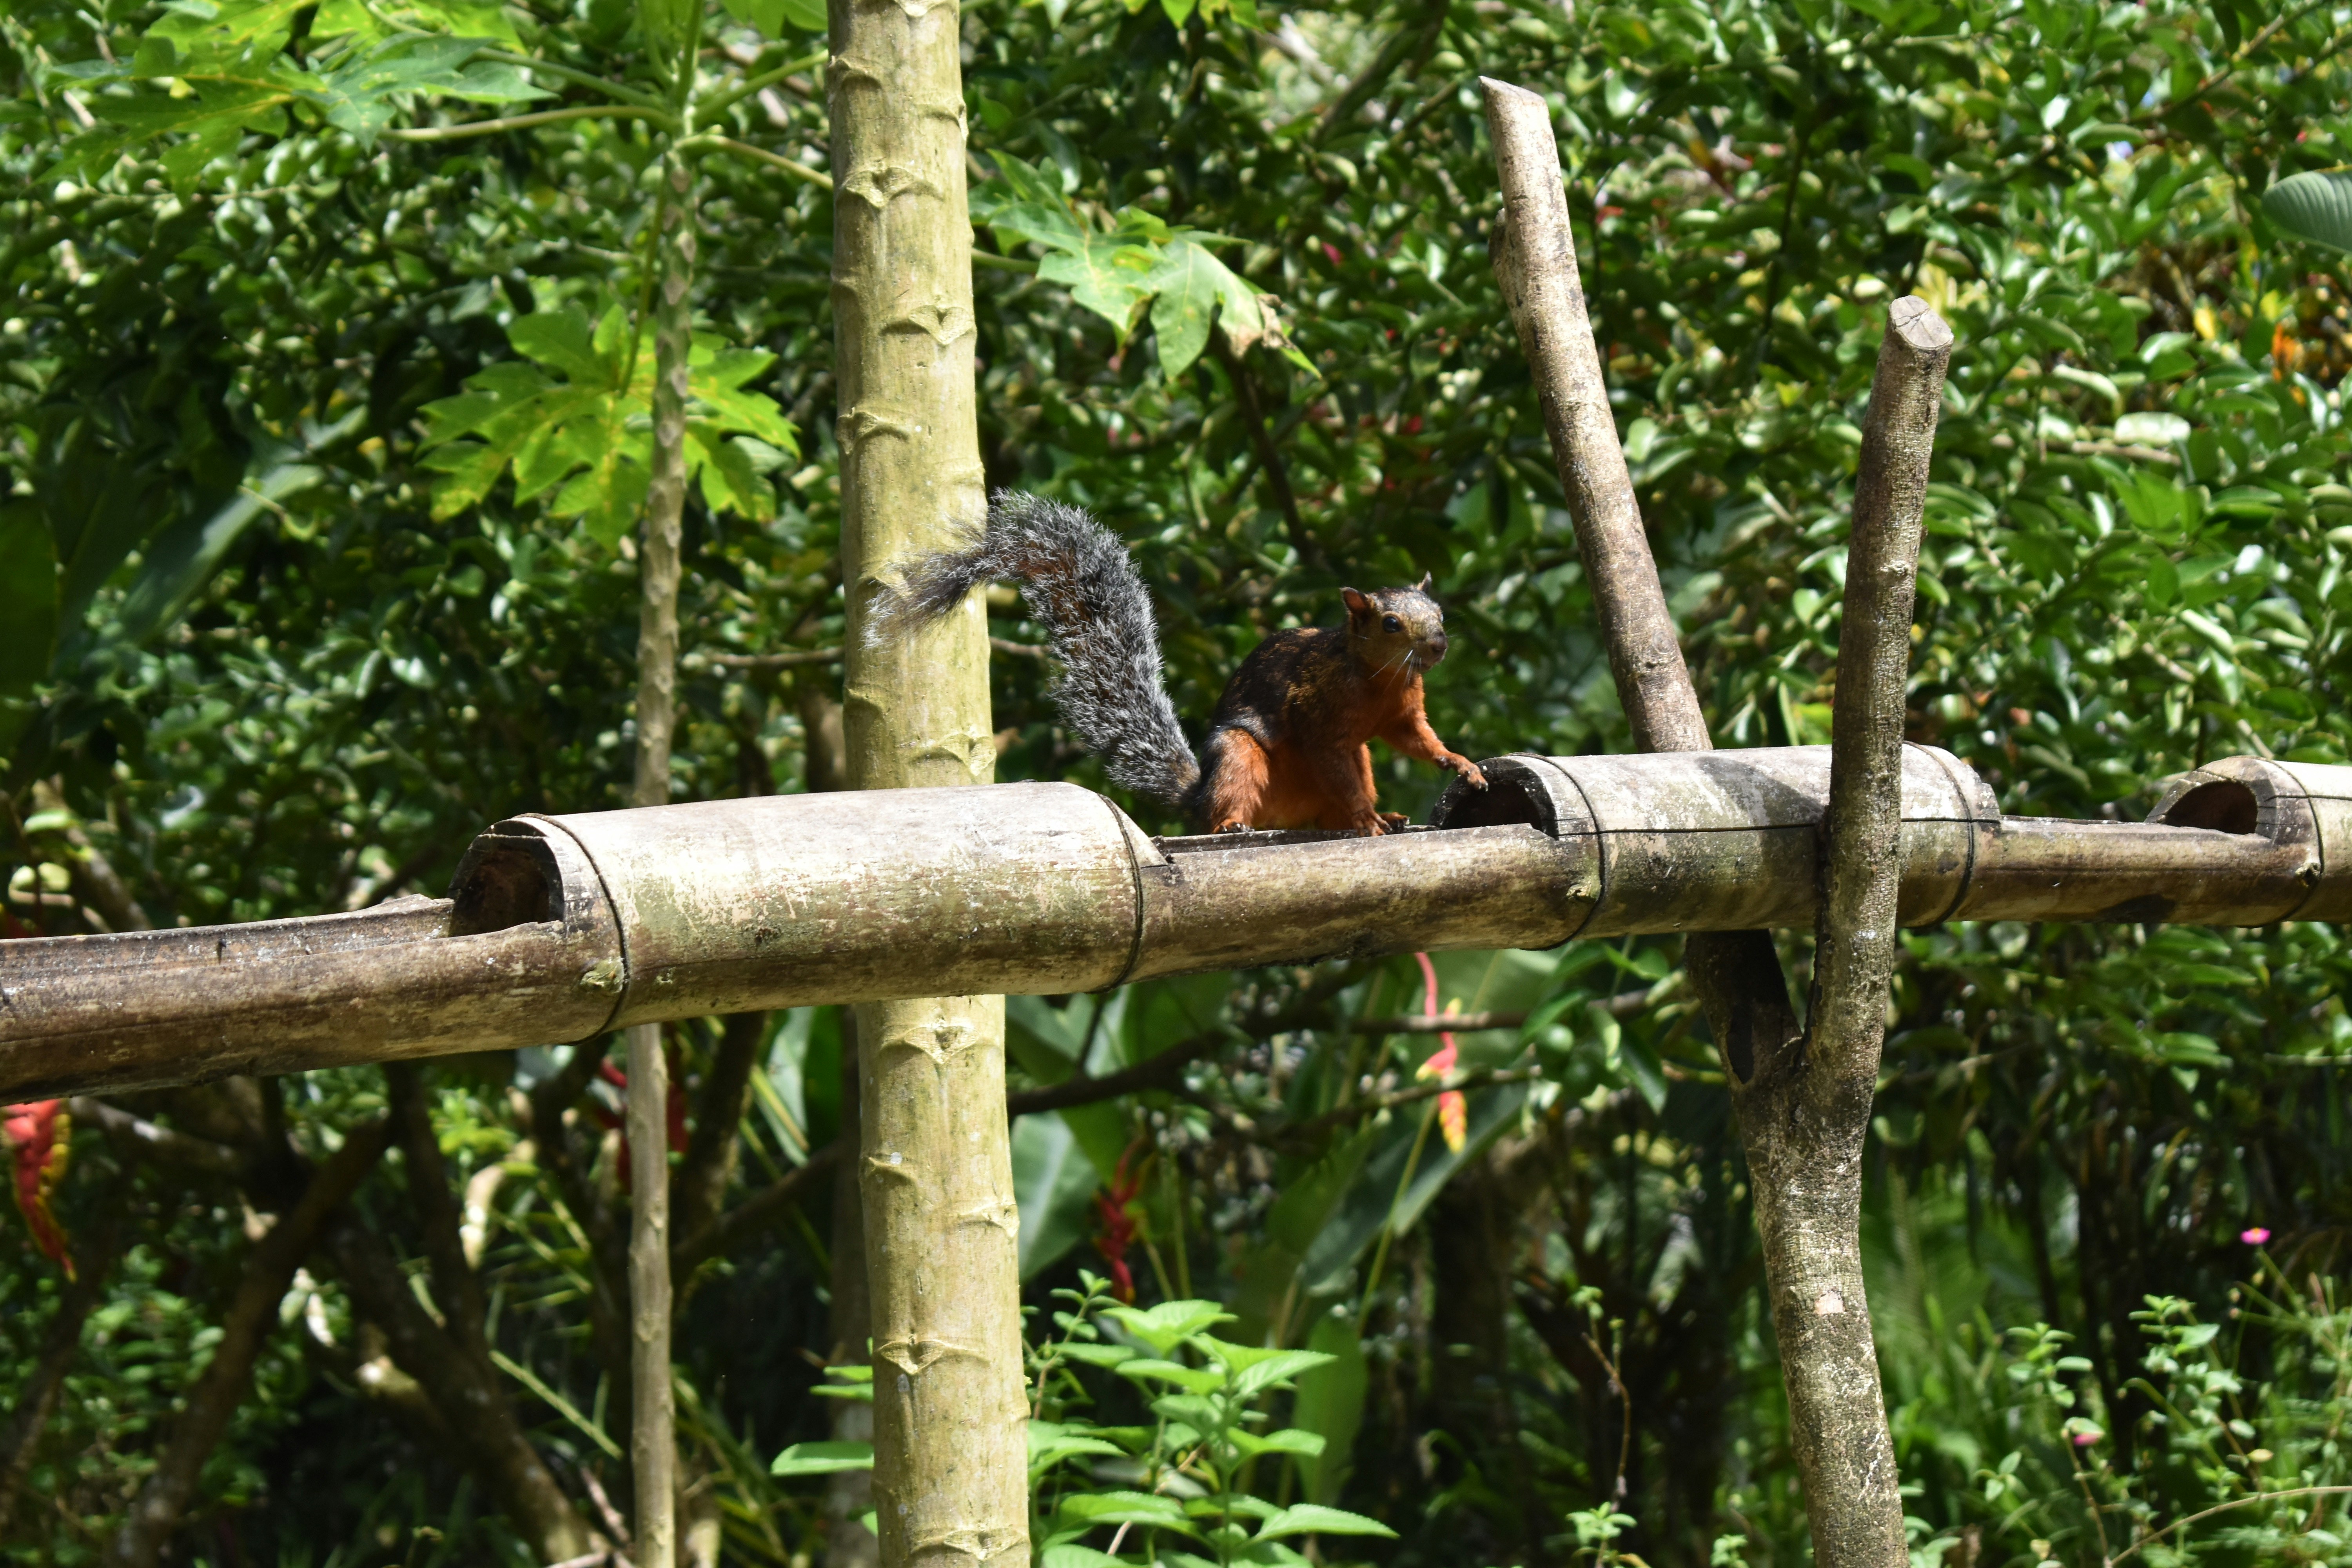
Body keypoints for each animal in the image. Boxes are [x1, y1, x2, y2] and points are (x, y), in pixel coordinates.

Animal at [865, 491, 1488, 835]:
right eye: (1391, 624)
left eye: (1438, 611)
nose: (1439, 644)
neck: (1381, 680)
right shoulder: (1319, 714)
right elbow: (1331, 756)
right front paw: (1364, 818)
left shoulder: (1403, 712)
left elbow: (1417, 740)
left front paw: (1461, 764)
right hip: (1239, 758)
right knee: (1229, 808)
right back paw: (1242, 822)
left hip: (1360, 762)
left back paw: (1387, 817)